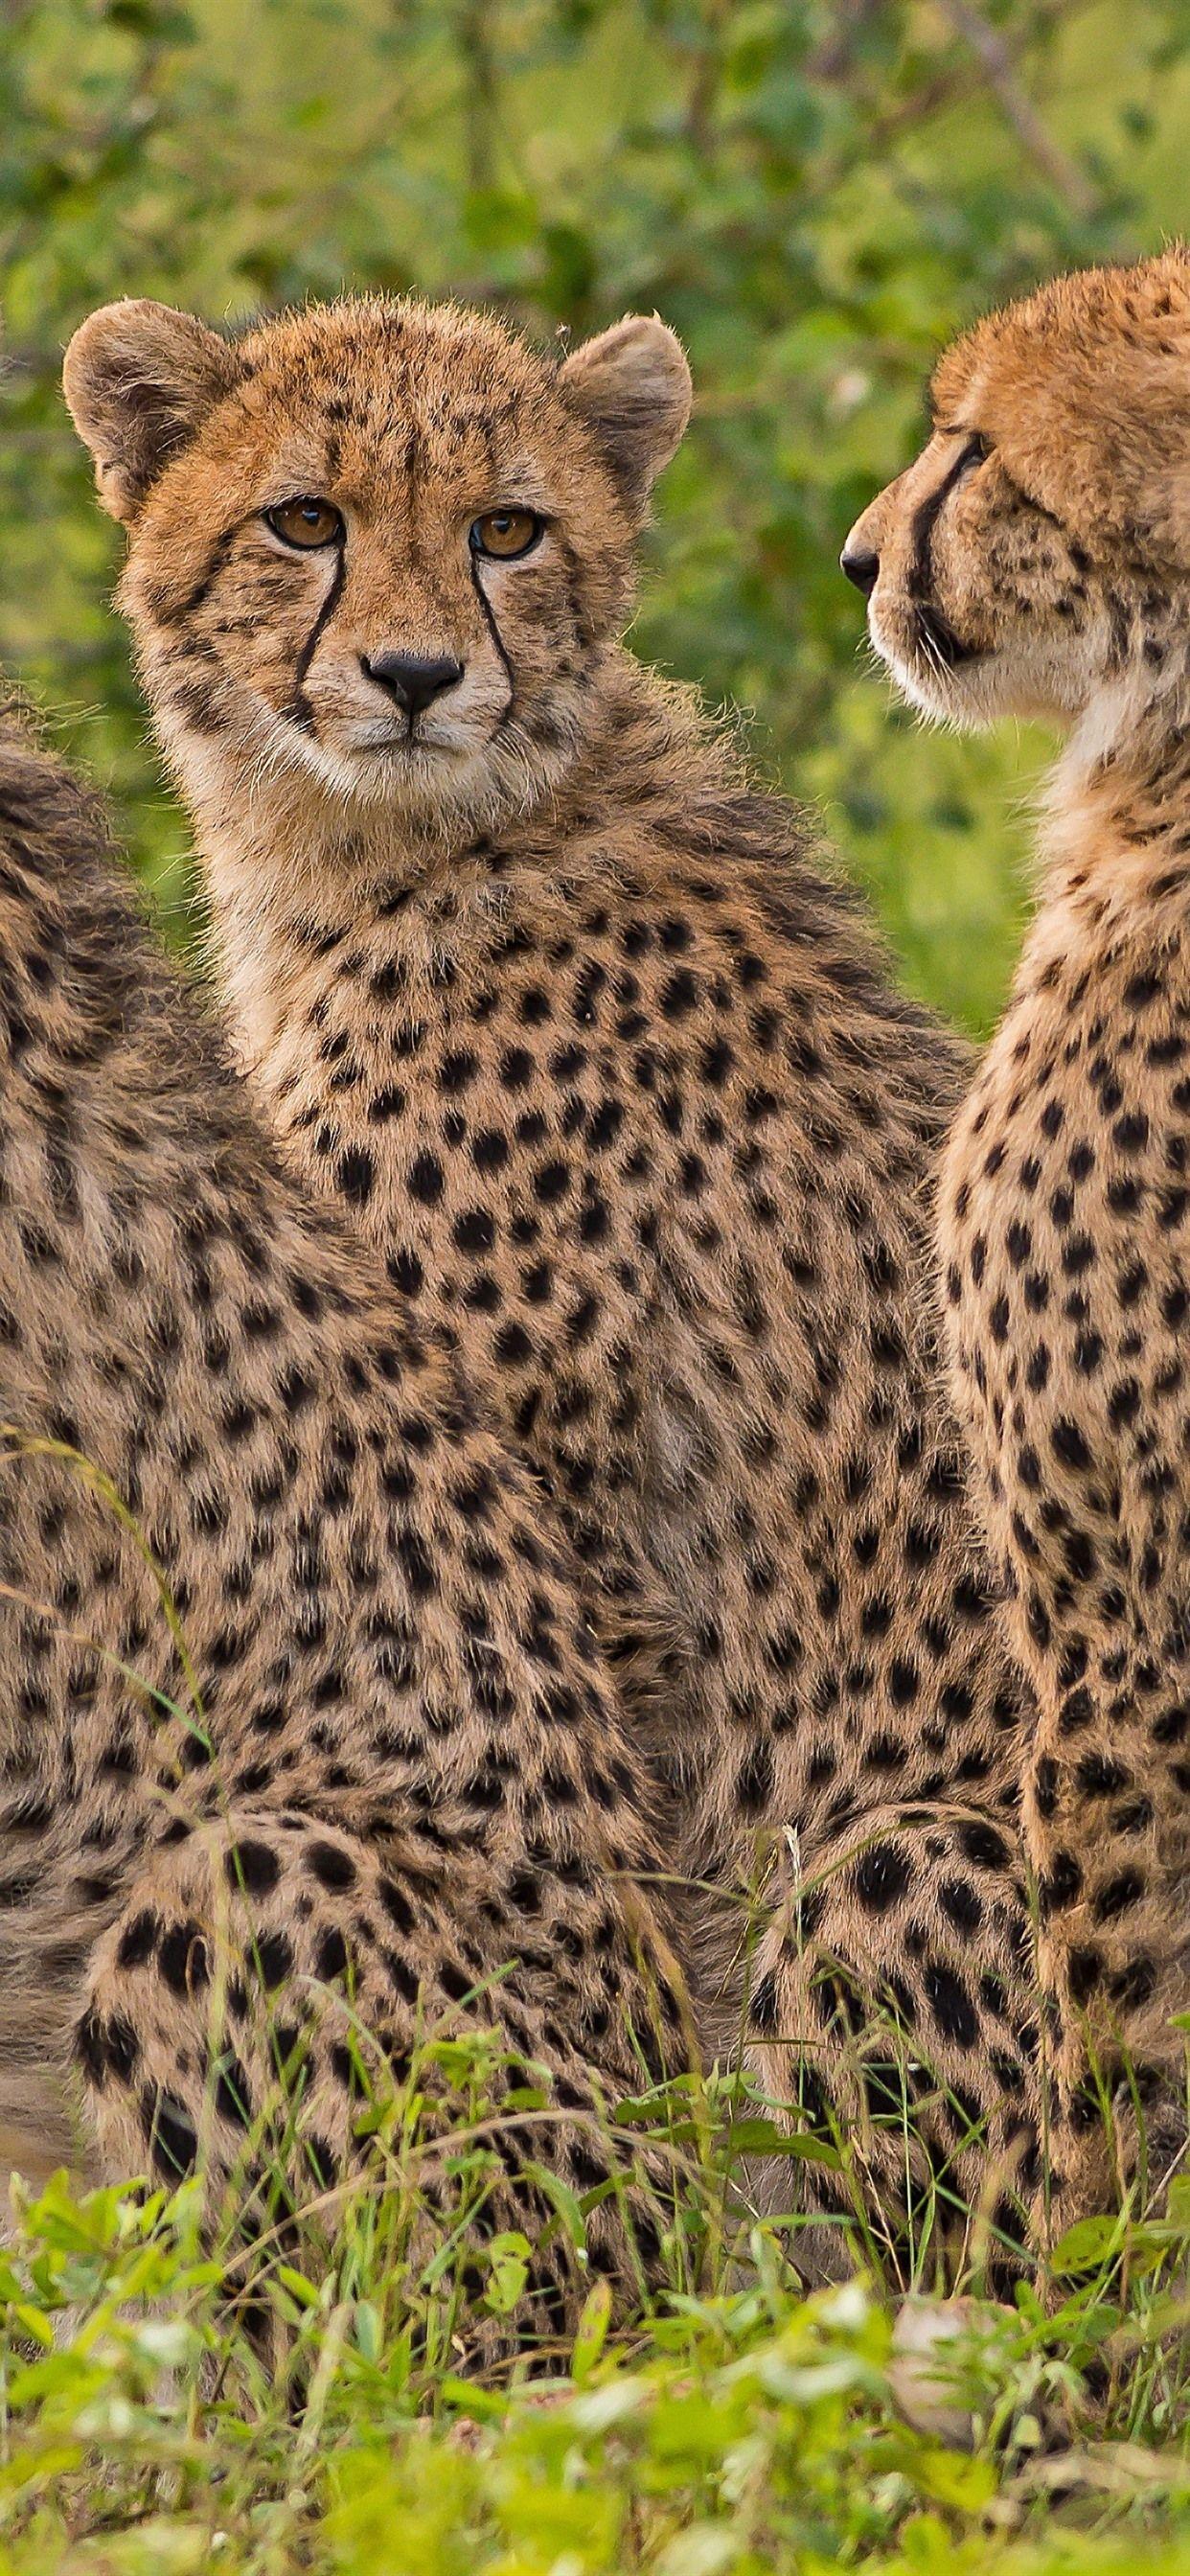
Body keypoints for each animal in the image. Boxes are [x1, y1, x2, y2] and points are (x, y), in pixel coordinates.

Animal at [65, 289, 1046, 2278]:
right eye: (305, 520)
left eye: (507, 530)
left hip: (914, 1857)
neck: (426, 841)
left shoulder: (561, 1556)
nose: (415, 674)